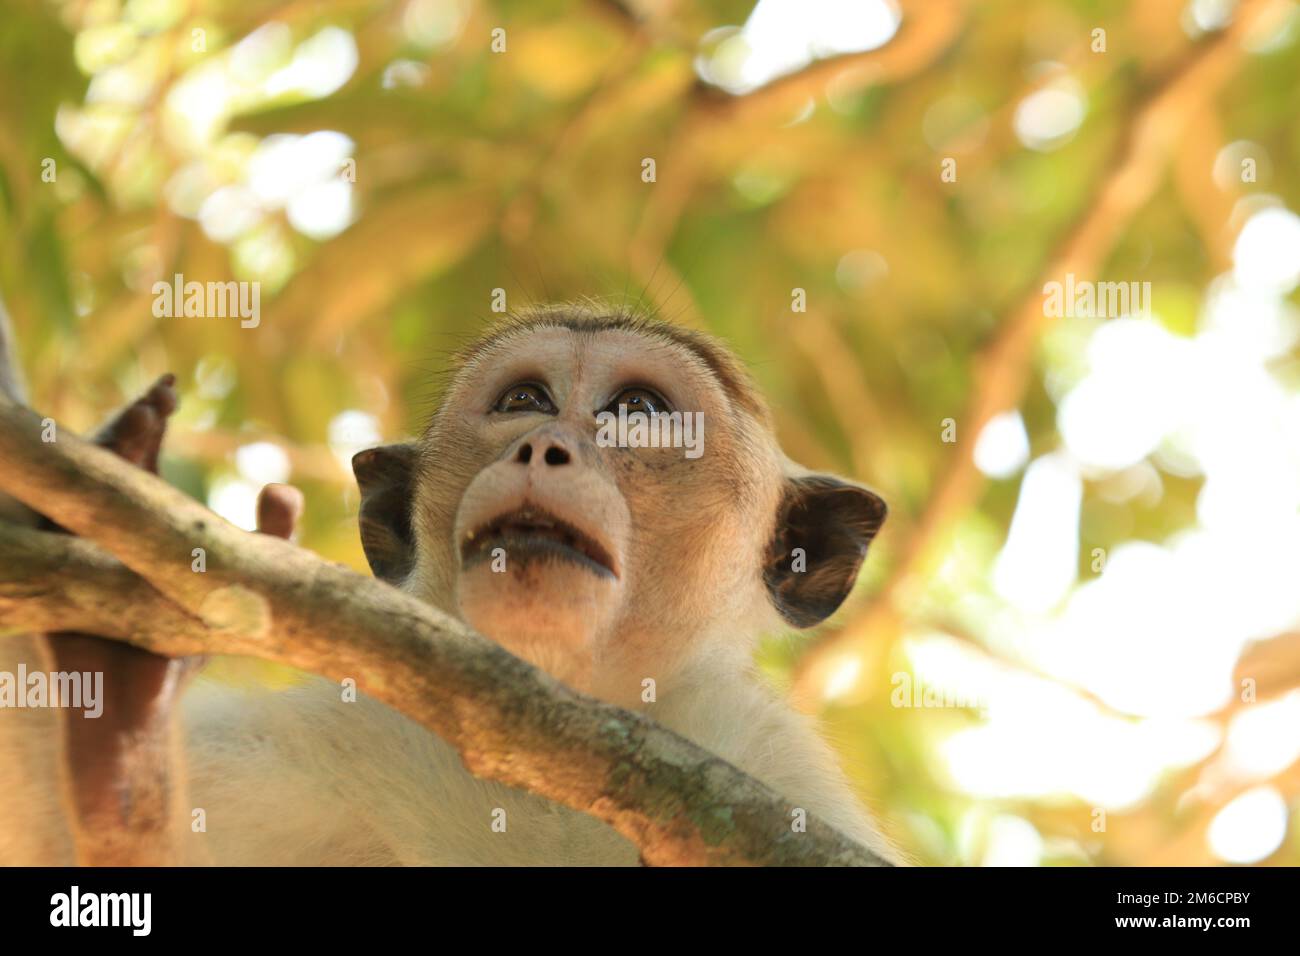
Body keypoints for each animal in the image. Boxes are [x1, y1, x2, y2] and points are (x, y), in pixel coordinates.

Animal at [0, 303, 897, 865]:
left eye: (637, 409)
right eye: (525, 400)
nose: (543, 448)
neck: (554, 742)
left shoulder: (771, 770)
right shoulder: (337, 743)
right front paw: (115, 712)